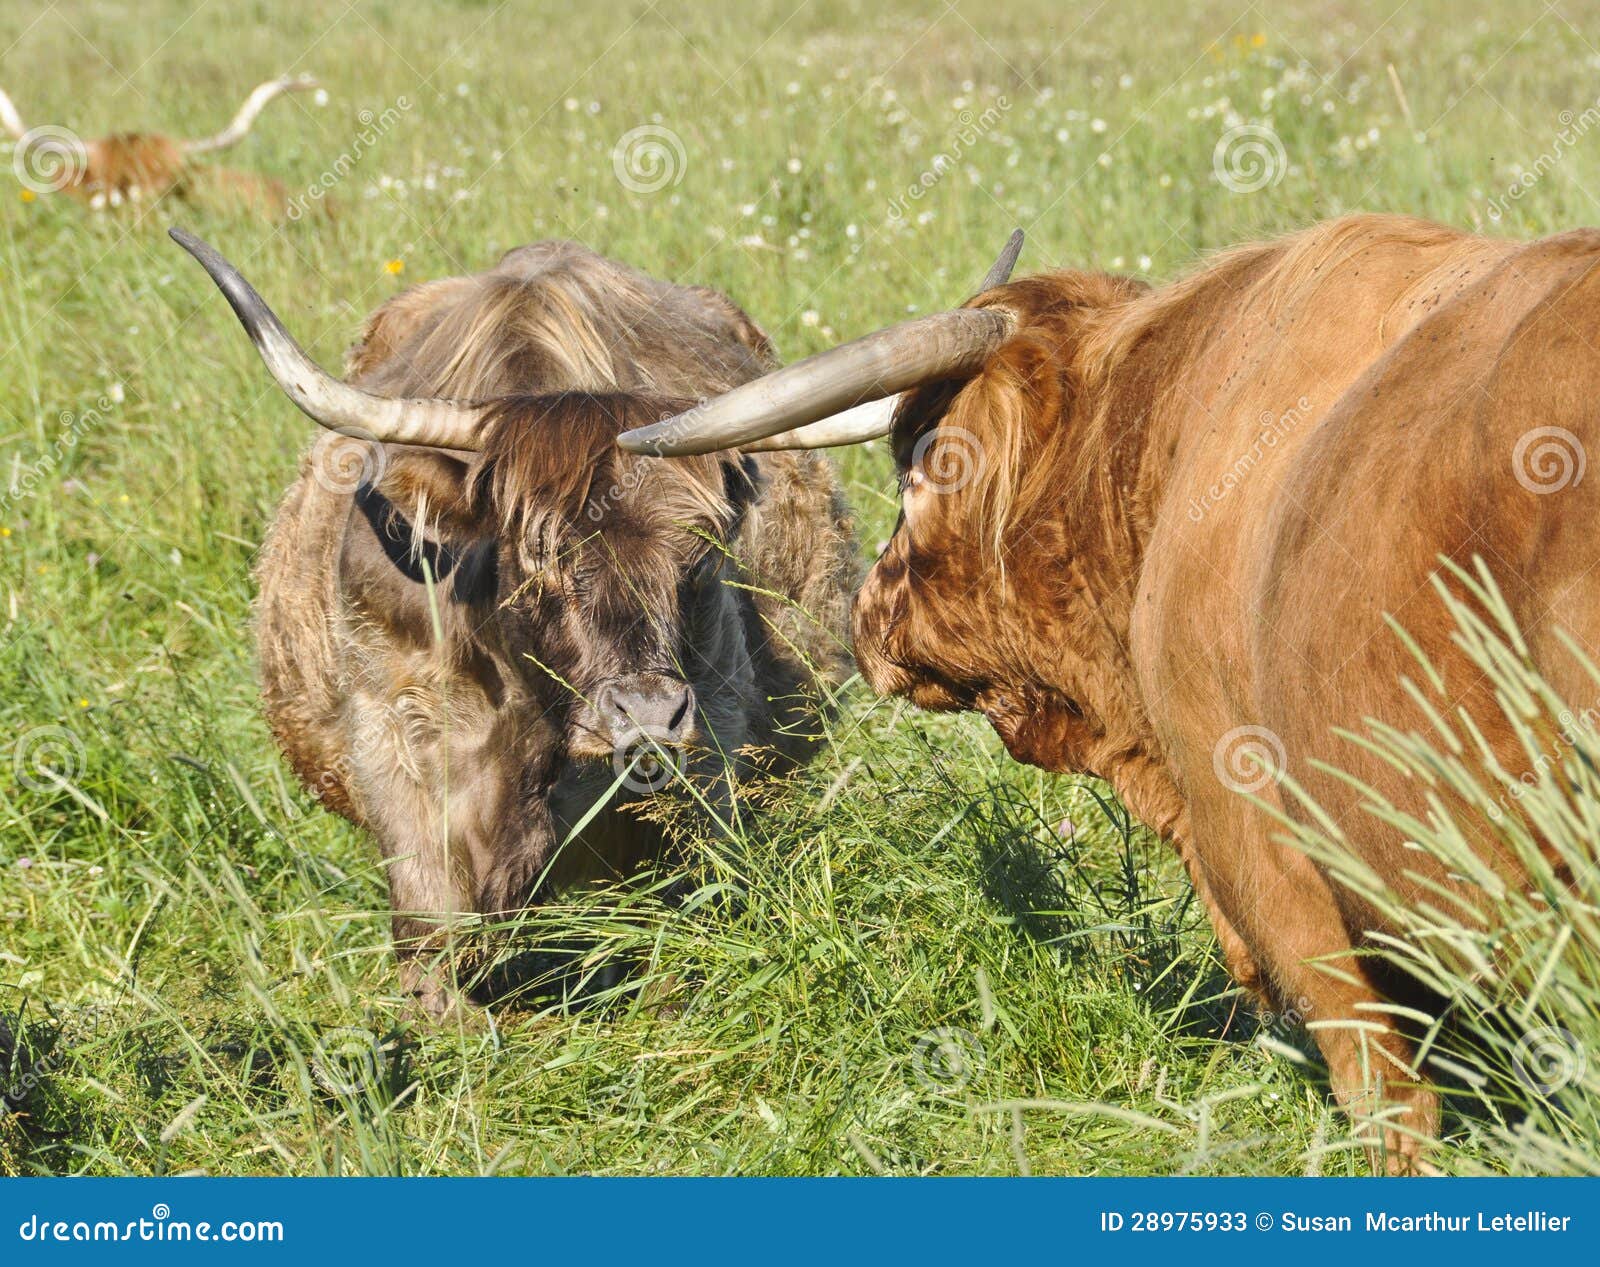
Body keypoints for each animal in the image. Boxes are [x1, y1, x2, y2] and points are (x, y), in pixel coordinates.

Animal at [170, 229, 857, 1019]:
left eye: (702, 552)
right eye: (536, 557)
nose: (647, 713)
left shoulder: (711, 729)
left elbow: (686, 900)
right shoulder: (394, 733)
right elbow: (429, 921)